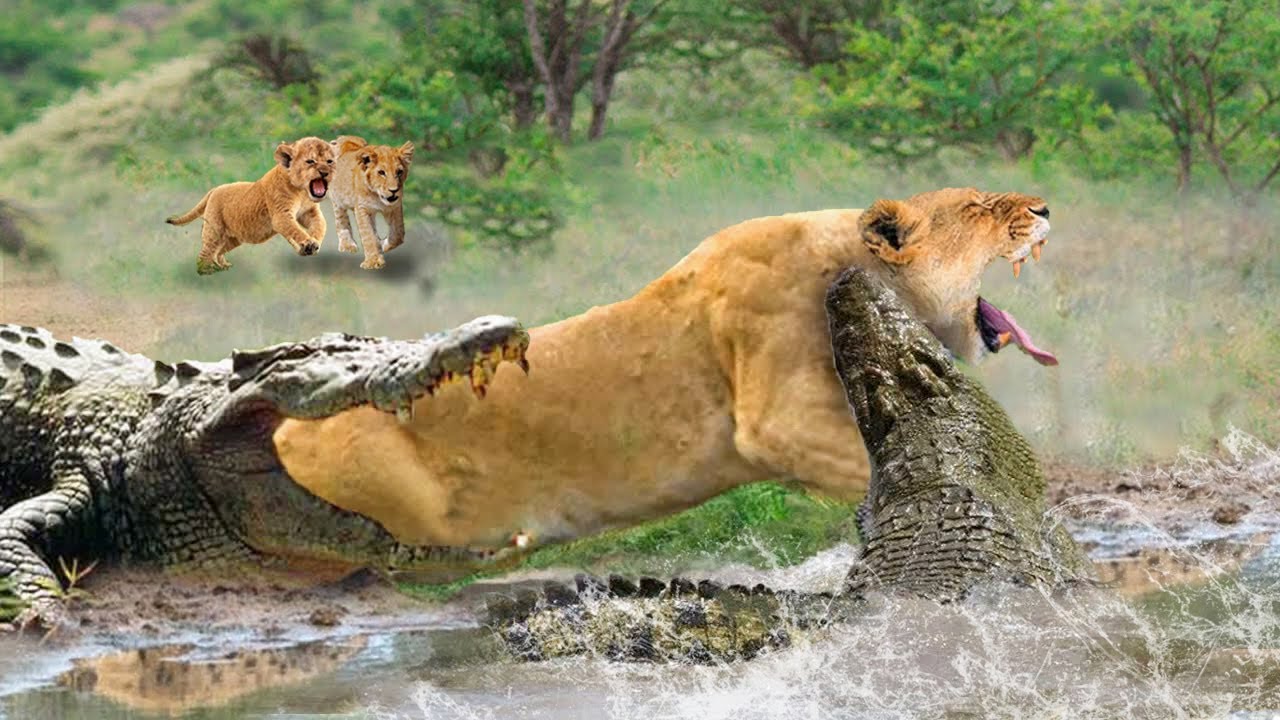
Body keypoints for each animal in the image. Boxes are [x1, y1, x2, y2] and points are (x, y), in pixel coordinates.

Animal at [166, 136, 335, 275]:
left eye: (329, 161)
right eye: (310, 161)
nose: (325, 172)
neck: (302, 192)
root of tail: (214, 189)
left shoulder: (310, 212)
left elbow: (320, 225)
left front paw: (313, 242)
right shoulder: (281, 215)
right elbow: (295, 229)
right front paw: (307, 243)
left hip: (232, 238)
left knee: (218, 251)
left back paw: (223, 266)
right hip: (214, 230)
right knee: (205, 252)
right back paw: (206, 271)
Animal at [327, 135, 415, 270]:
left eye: (399, 172)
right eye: (381, 172)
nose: (394, 190)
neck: (377, 196)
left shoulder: (394, 207)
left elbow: (398, 234)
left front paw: (382, 245)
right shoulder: (363, 209)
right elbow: (368, 235)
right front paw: (373, 261)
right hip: (337, 199)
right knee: (341, 220)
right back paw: (347, 244)